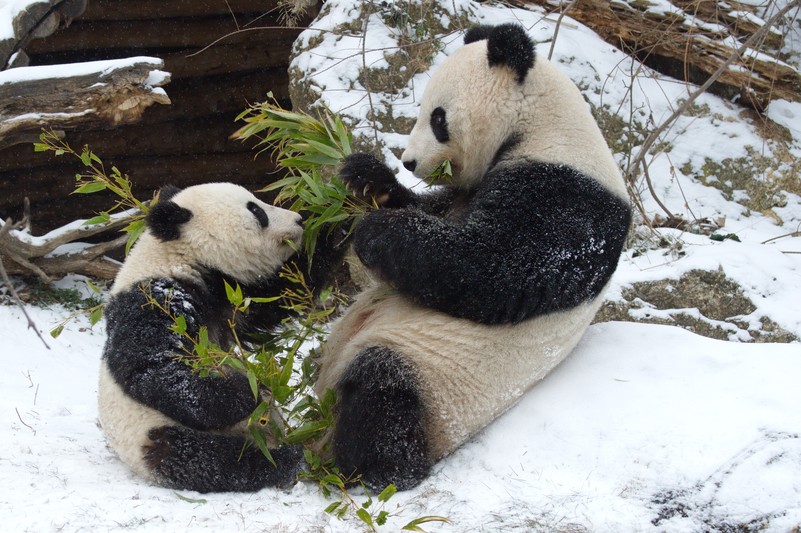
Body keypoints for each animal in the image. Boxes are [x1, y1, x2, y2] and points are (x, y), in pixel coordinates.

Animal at [98, 182, 342, 493]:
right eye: (257, 211)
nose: (298, 220)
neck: (178, 257)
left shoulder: (231, 296)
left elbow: (283, 293)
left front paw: (342, 212)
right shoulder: (154, 300)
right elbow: (155, 369)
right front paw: (250, 389)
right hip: (153, 434)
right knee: (206, 460)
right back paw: (286, 461)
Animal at [312, 23, 632, 491]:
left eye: (438, 118)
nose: (408, 161)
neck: (541, 123)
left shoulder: (568, 197)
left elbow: (488, 268)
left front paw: (374, 231)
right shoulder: (471, 190)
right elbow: (432, 210)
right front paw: (367, 177)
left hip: (439, 381)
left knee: (382, 393)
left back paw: (368, 469)